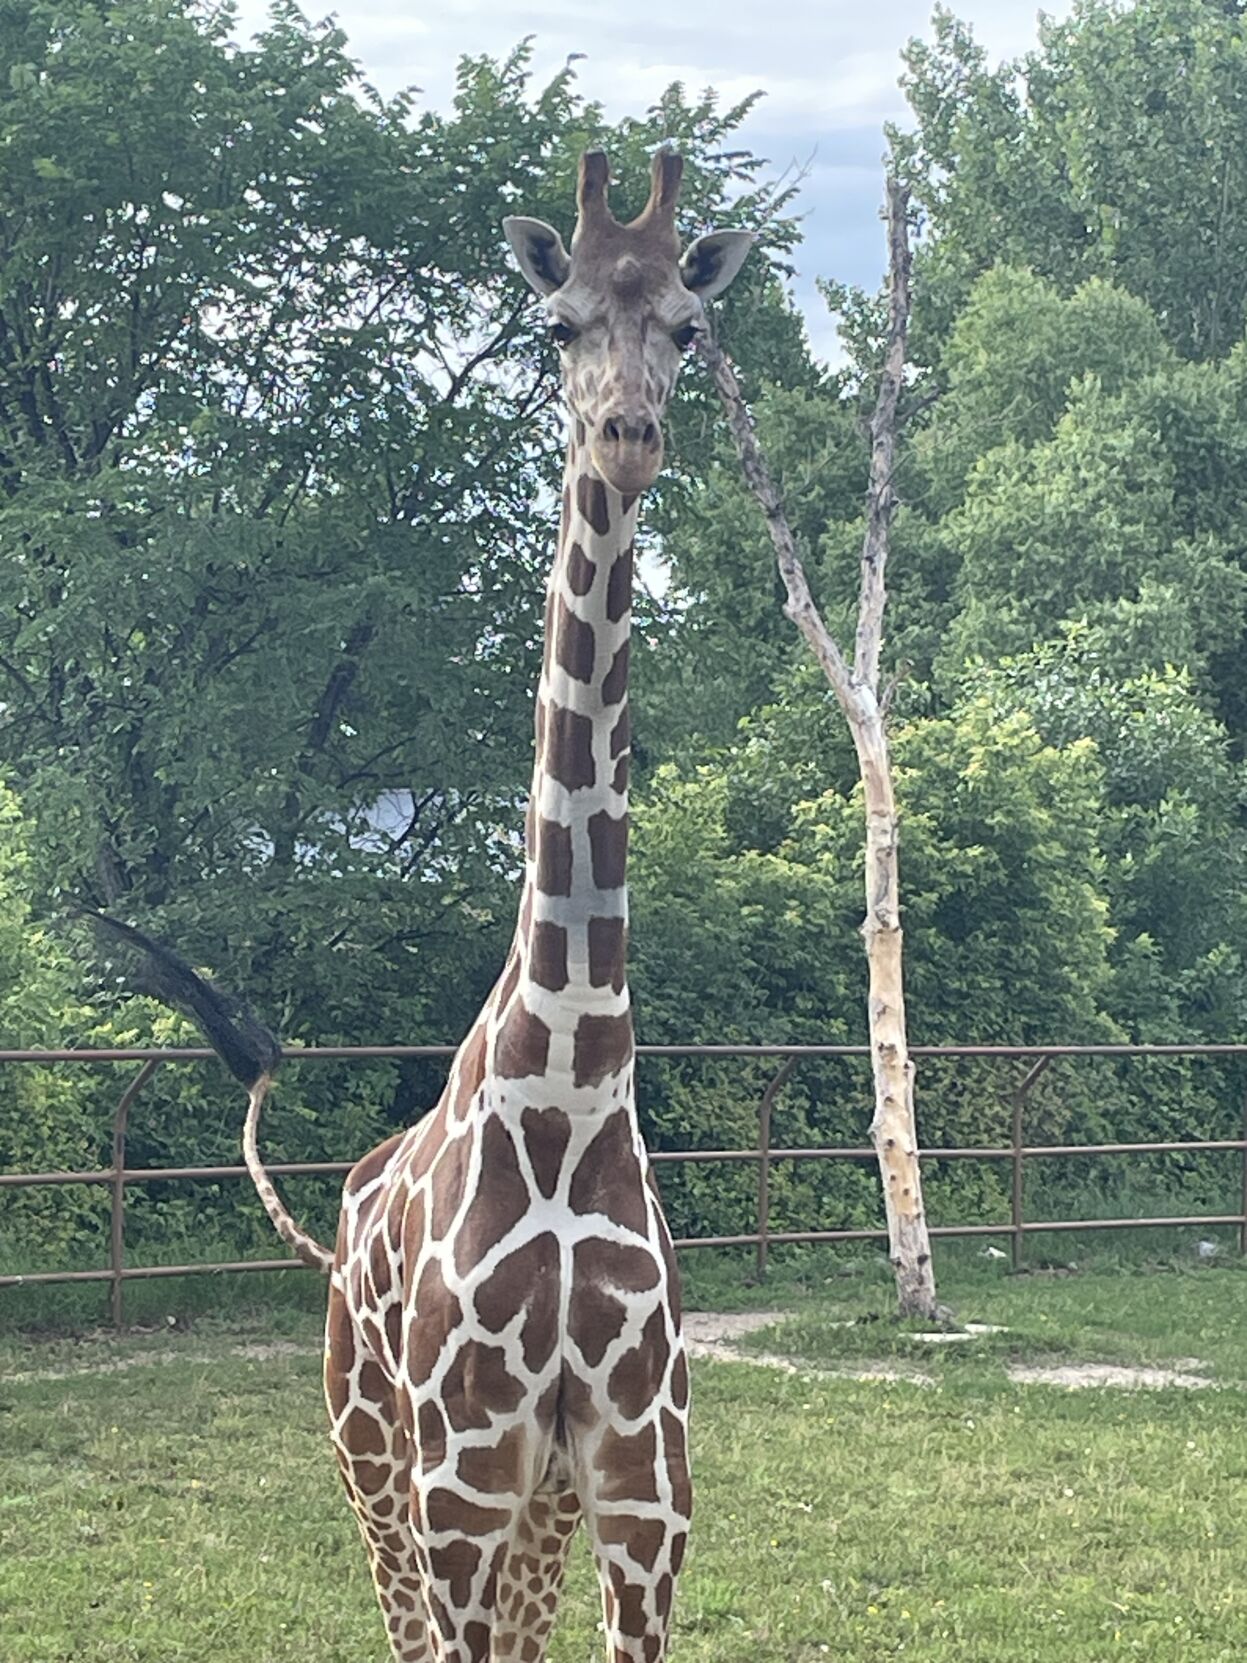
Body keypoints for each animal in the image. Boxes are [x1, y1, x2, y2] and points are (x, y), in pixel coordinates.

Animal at [91, 147, 751, 1663]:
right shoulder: (459, 1477)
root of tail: (335, 1218)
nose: (626, 434)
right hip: (370, 1454)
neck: (569, 1079)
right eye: (558, 322)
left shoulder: (641, 1485)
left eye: (686, 327)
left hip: (529, 1505)